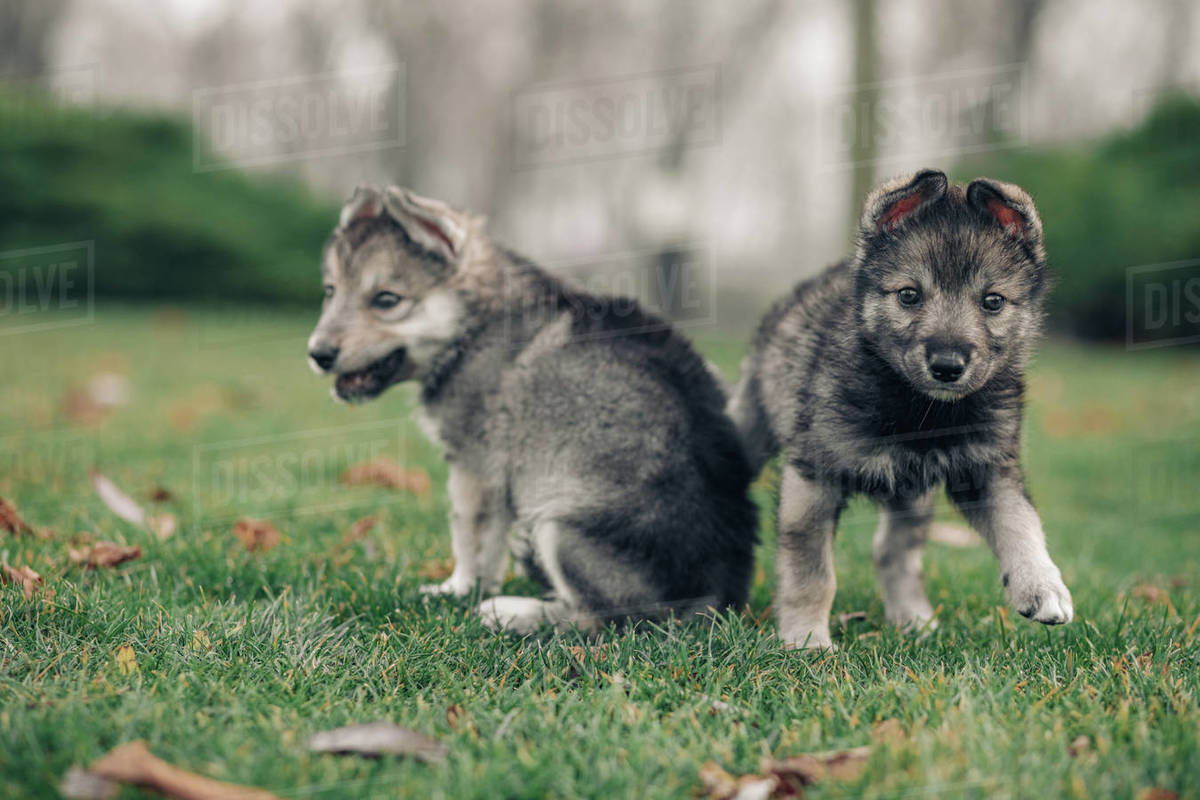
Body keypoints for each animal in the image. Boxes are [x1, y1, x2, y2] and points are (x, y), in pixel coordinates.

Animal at [307, 185, 757, 634]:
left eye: (386, 300)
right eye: (329, 292)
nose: (318, 354)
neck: (474, 325)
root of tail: (712, 602)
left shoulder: (476, 467)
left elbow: (468, 537)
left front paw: (458, 590)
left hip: (560, 523)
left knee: (607, 619)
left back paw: (517, 612)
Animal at [728, 169, 1073, 649]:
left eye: (993, 301)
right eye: (909, 295)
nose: (947, 366)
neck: (922, 413)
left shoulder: (986, 470)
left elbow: (1020, 522)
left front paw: (1042, 585)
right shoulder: (813, 476)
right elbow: (811, 569)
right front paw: (807, 638)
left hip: (914, 496)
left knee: (894, 551)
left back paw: (914, 619)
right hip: (750, 422)